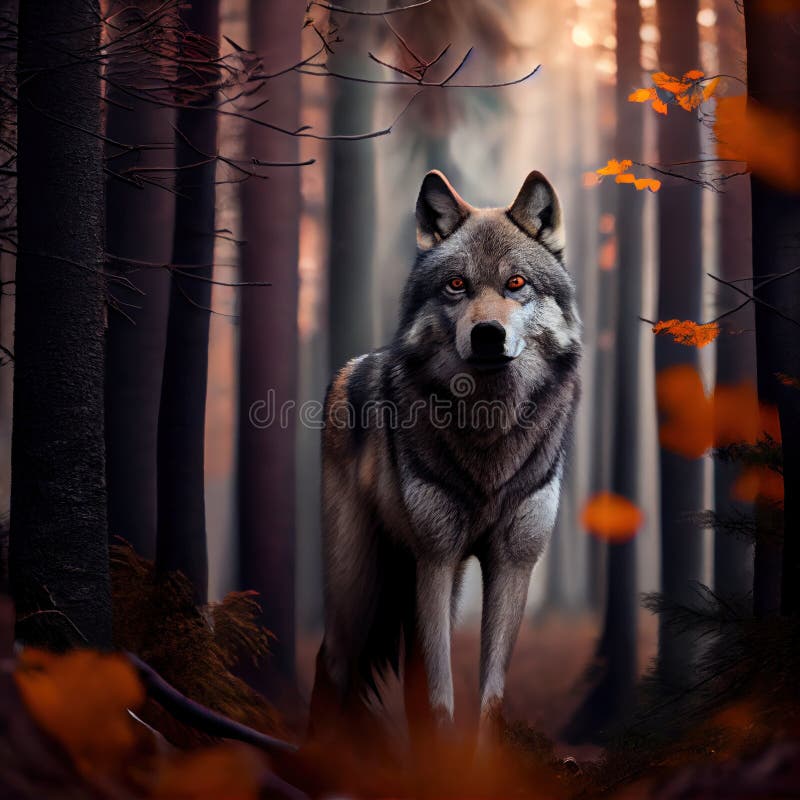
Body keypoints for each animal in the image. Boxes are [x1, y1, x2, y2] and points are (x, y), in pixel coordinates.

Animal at [309, 170, 581, 749]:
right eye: (456, 285)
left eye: (516, 283)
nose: (487, 334)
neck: (488, 438)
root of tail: (352, 367)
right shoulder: (435, 558)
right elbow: (439, 701)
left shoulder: (512, 564)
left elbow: (489, 700)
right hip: (361, 583)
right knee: (333, 662)